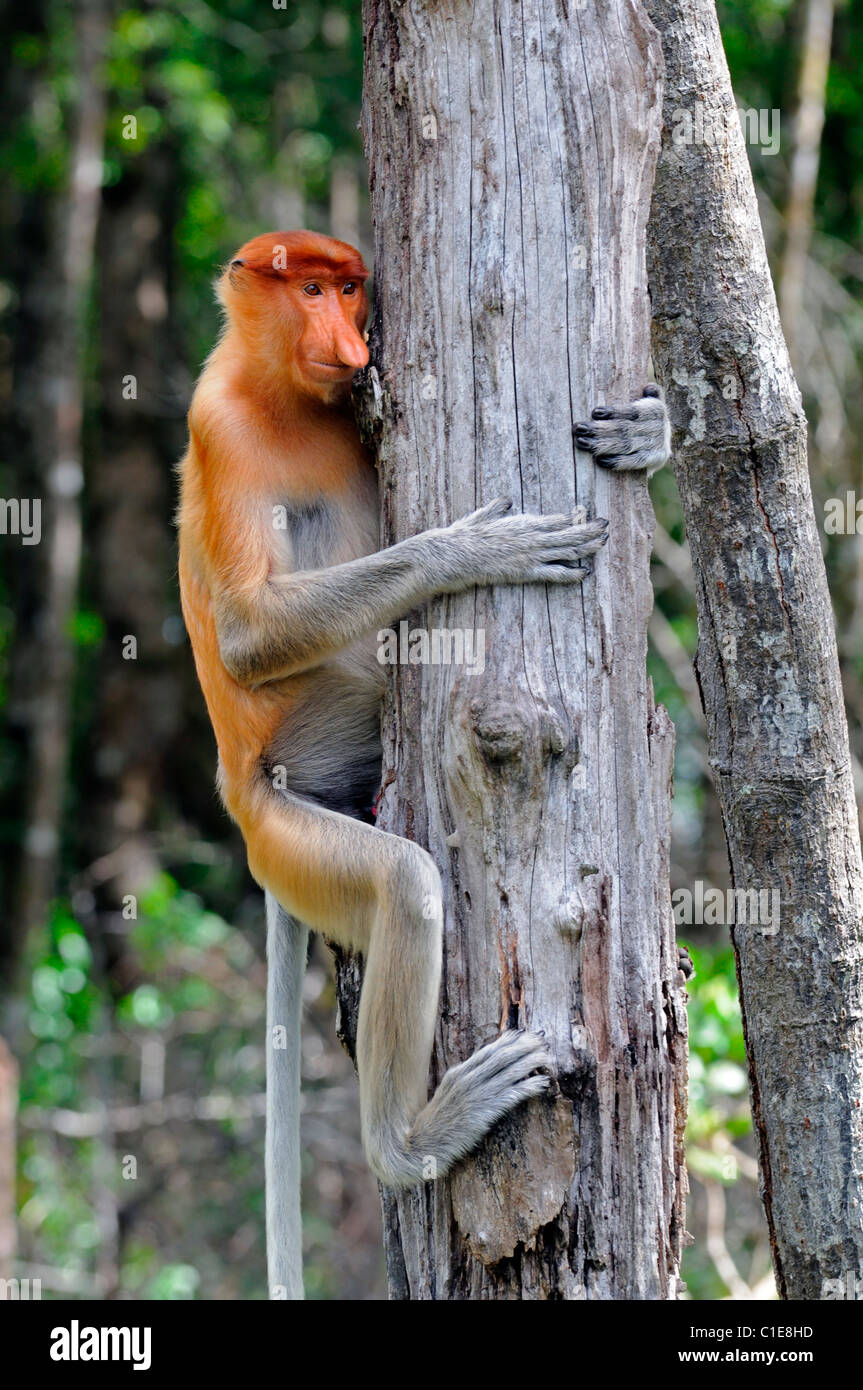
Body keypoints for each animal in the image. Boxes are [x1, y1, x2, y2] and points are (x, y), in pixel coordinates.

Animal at [176, 230, 670, 1298]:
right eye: (308, 289)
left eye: (348, 290)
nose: (348, 340)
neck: (276, 393)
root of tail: (243, 798)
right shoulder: (215, 424)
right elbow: (246, 639)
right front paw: (471, 551)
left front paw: (647, 432)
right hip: (280, 832)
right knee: (402, 885)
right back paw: (412, 1142)